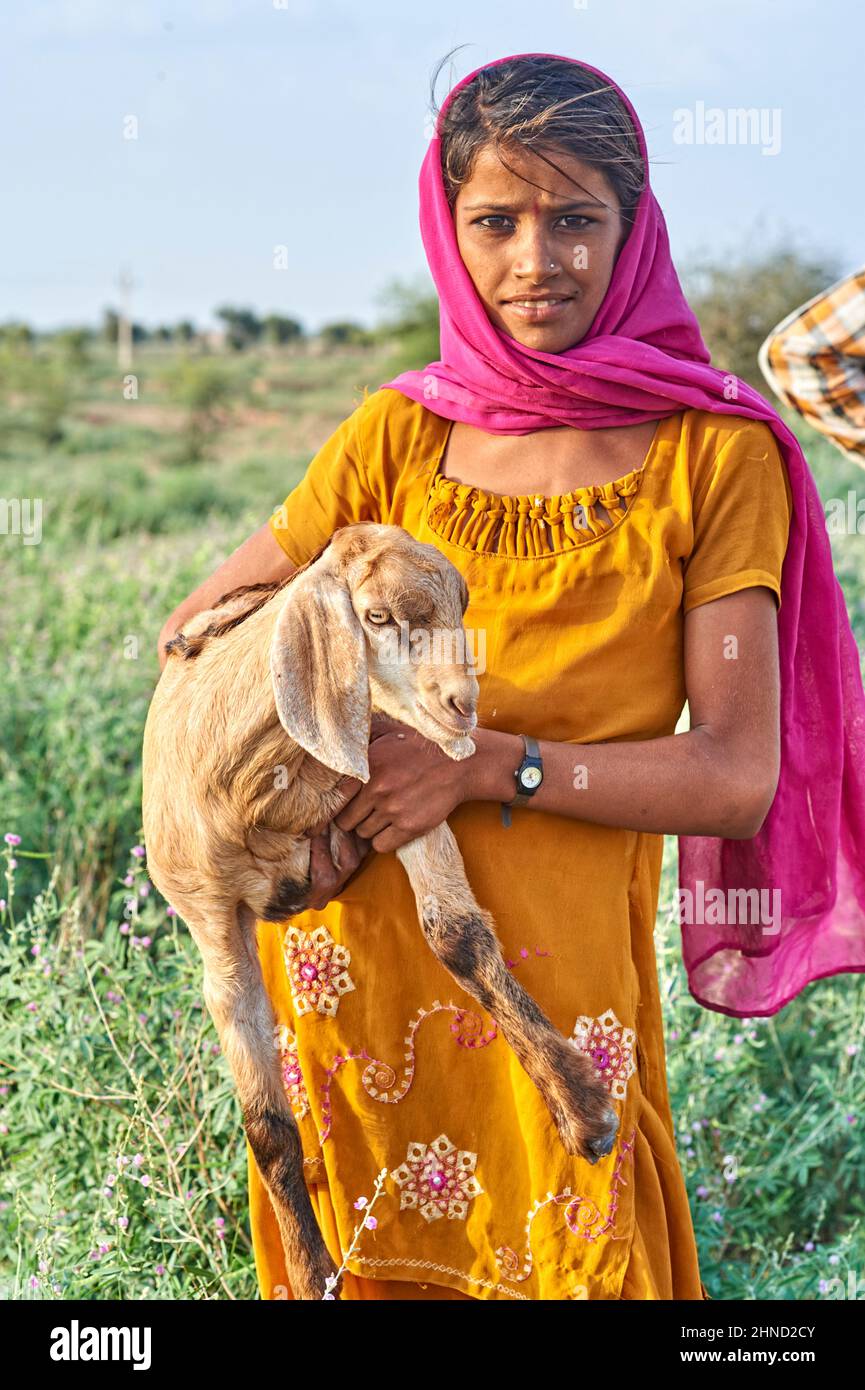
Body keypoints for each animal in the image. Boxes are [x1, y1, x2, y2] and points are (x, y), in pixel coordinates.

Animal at [141, 522, 620, 1300]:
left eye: (461, 607)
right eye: (376, 617)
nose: (463, 704)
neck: (261, 788)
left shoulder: (397, 791)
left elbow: (458, 936)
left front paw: (583, 1108)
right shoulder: (211, 916)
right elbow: (267, 1126)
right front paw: (310, 1273)